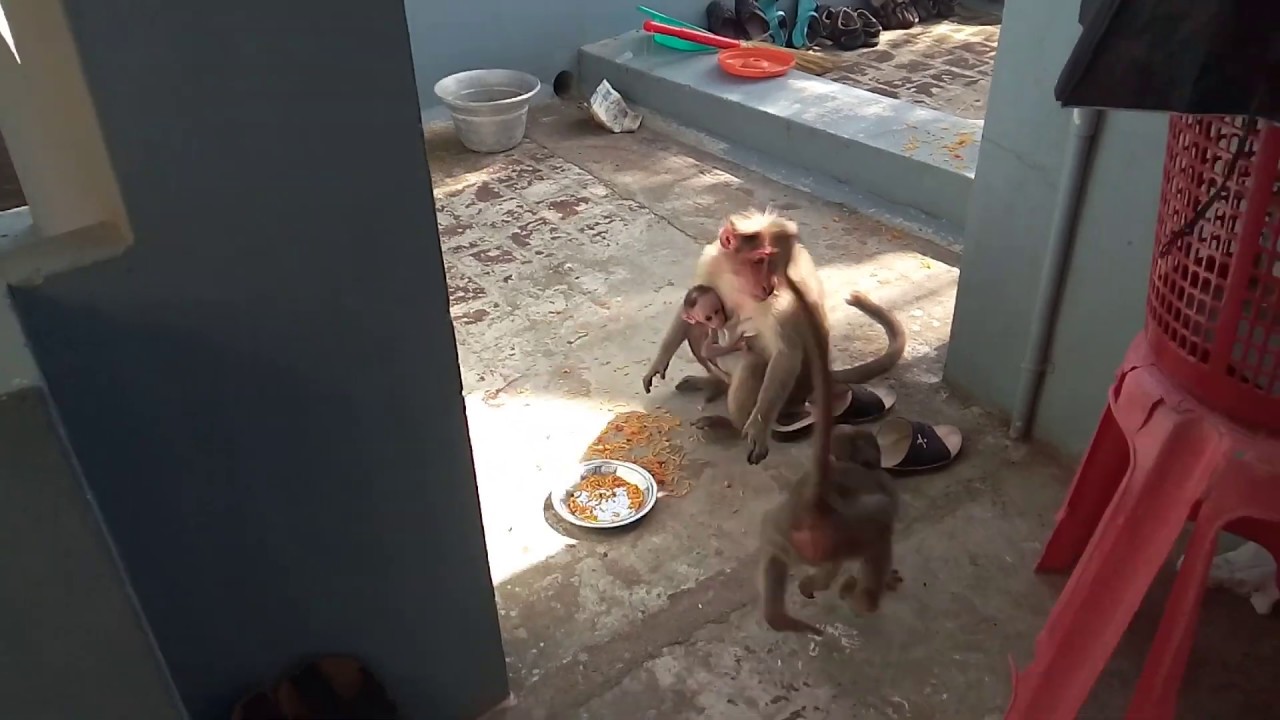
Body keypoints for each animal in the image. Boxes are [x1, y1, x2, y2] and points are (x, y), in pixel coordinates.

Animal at [643, 209, 906, 466]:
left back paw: (733, 427)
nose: (767, 285)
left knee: (752, 363)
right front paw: (658, 363)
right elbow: (689, 306)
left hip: (793, 392)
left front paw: (758, 430)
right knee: (697, 326)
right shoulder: (711, 260)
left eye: (774, 262)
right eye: (759, 260)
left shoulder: (784, 291)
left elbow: (786, 352)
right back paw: (715, 383)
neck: (738, 279)